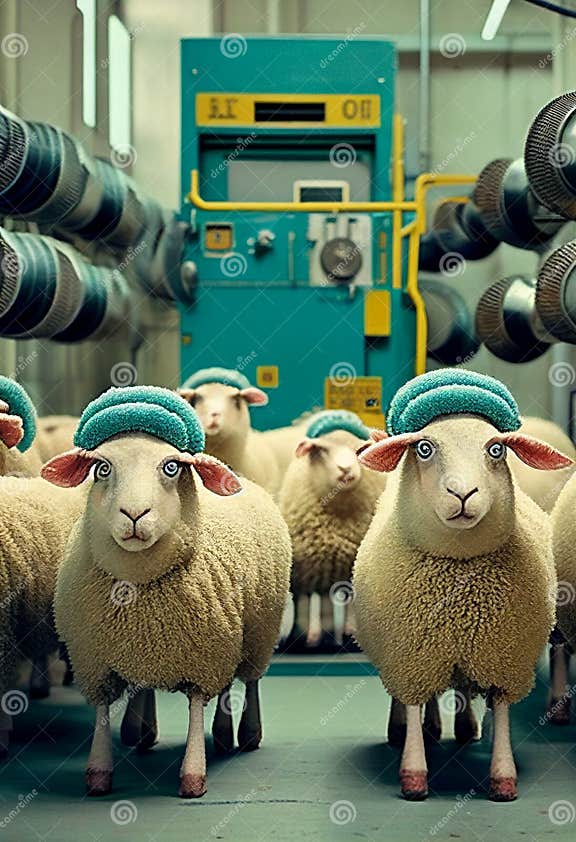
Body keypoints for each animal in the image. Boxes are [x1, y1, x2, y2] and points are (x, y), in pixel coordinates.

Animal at [42, 385, 291, 798]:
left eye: (172, 467)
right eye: (102, 468)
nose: (134, 514)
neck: (137, 589)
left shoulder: (205, 654)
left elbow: (195, 708)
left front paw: (193, 776)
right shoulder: (94, 659)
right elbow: (101, 713)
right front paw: (99, 772)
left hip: (256, 631)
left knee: (248, 681)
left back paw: (242, 735)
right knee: (153, 685)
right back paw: (142, 732)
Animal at [278, 410, 385, 649]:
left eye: (359, 450)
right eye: (322, 450)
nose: (345, 469)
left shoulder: (349, 563)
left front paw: (349, 636)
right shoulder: (309, 565)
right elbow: (311, 601)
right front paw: (308, 638)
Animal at [353, 368, 571, 802]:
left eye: (496, 449)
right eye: (424, 448)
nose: (463, 493)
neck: (460, 583)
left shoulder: (503, 657)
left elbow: (500, 709)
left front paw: (503, 778)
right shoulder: (412, 656)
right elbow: (413, 703)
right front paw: (414, 774)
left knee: (462, 690)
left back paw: (465, 728)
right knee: (410, 698)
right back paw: (406, 730)